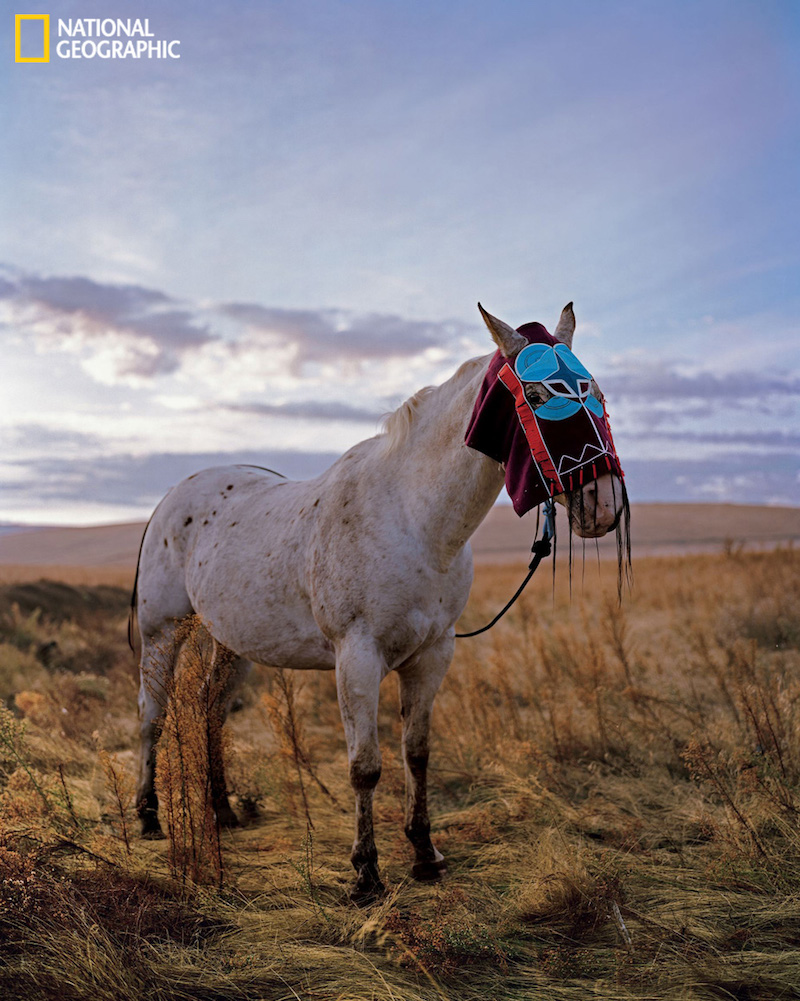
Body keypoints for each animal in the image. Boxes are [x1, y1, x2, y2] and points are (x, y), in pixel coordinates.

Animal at [131, 303, 626, 903]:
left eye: (596, 392)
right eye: (537, 396)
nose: (603, 504)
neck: (413, 518)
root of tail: (173, 495)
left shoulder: (433, 654)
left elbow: (417, 752)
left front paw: (425, 854)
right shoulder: (358, 657)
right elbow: (365, 766)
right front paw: (365, 873)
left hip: (232, 642)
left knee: (210, 708)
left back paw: (222, 811)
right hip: (162, 632)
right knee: (152, 714)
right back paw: (148, 816)